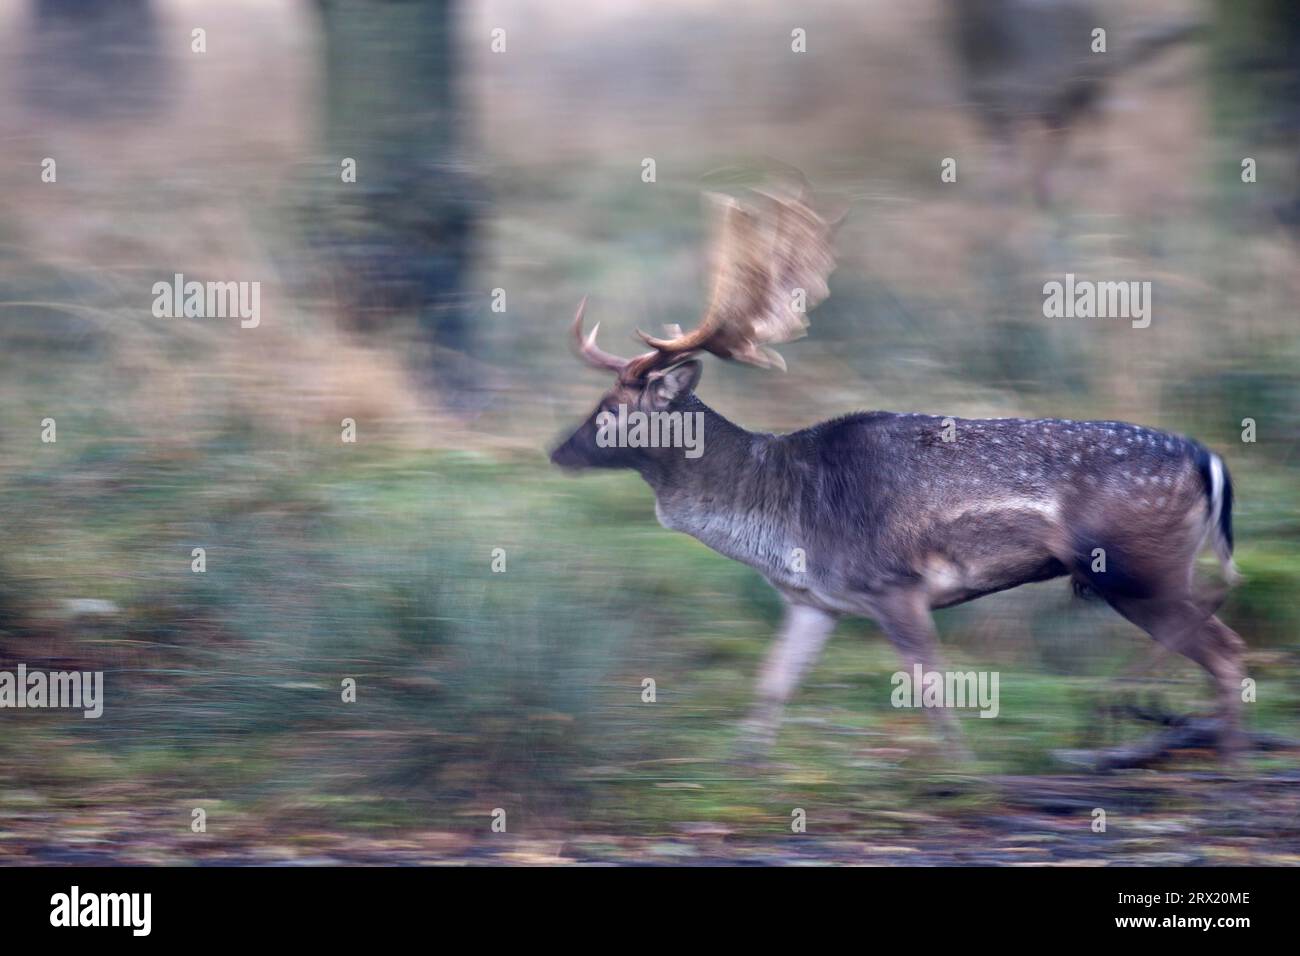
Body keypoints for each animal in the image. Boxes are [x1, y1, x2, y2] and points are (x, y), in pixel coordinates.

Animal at [550, 180, 1245, 764]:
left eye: (611, 410)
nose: (558, 451)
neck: (778, 516)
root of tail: (1207, 460)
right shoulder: (814, 601)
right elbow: (773, 685)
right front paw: (741, 768)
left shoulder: (894, 584)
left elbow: (933, 690)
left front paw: (962, 773)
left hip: (1138, 569)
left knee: (1229, 653)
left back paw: (1221, 765)